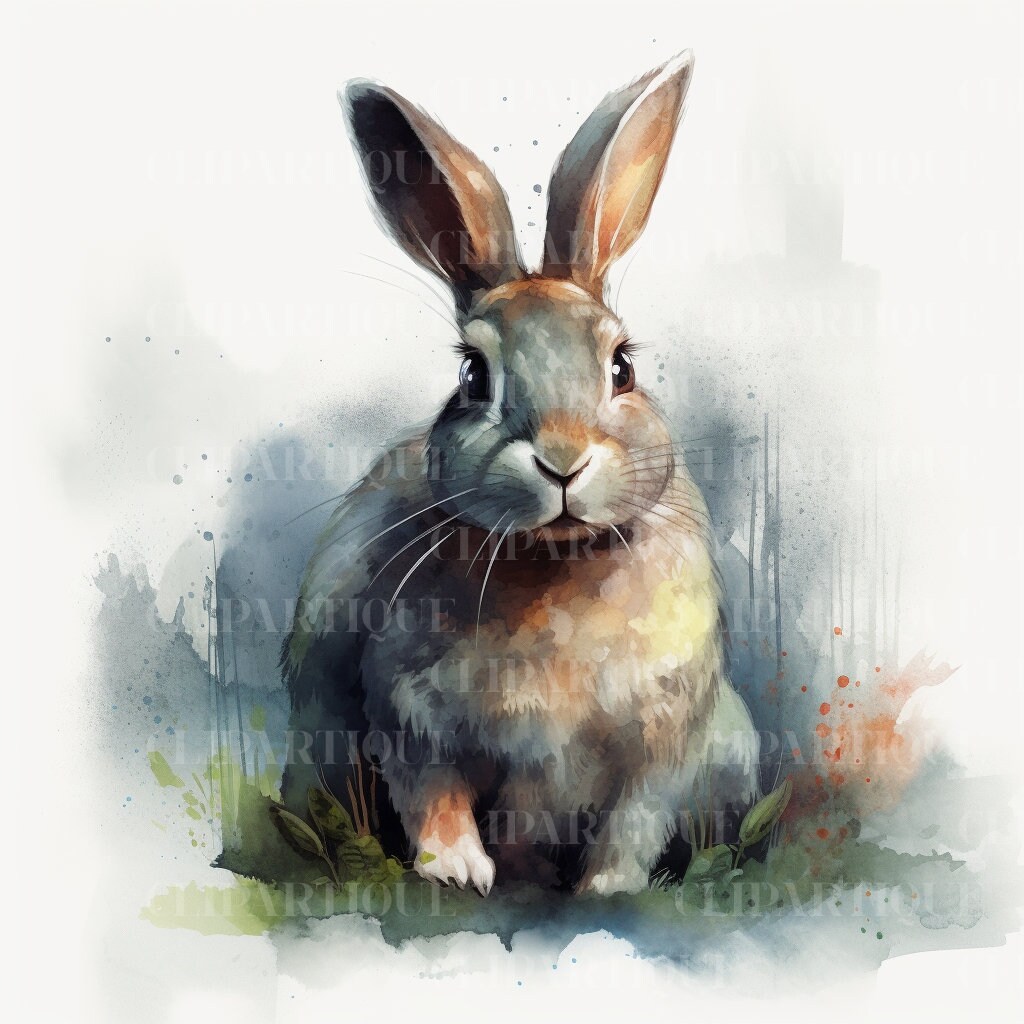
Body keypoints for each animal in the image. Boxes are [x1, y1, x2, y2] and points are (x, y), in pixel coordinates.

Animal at [280, 50, 761, 896]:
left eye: (623, 366)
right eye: (474, 375)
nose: (562, 460)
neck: (555, 563)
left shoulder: (665, 740)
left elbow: (634, 821)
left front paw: (608, 889)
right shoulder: (407, 712)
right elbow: (432, 794)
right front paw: (458, 872)